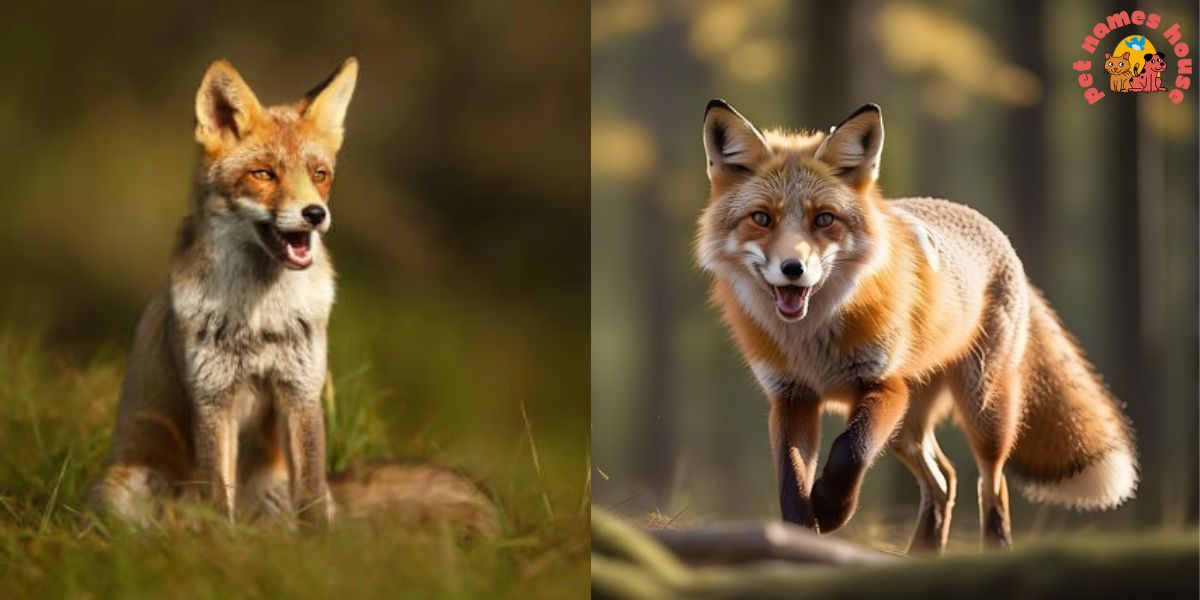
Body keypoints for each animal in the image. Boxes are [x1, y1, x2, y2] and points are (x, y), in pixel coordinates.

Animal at [696, 100, 1137, 553]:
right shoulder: (791, 398)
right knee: (945, 480)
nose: (793, 270)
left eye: (823, 220)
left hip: (981, 411)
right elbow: (792, 482)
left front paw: (832, 509)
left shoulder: (883, 386)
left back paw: (994, 547)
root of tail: (990, 228)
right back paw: (924, 553)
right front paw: (801, 535)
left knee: (991, 485)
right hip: (906, 427)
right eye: (762, 218)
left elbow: (849, 450)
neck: (812, 339)